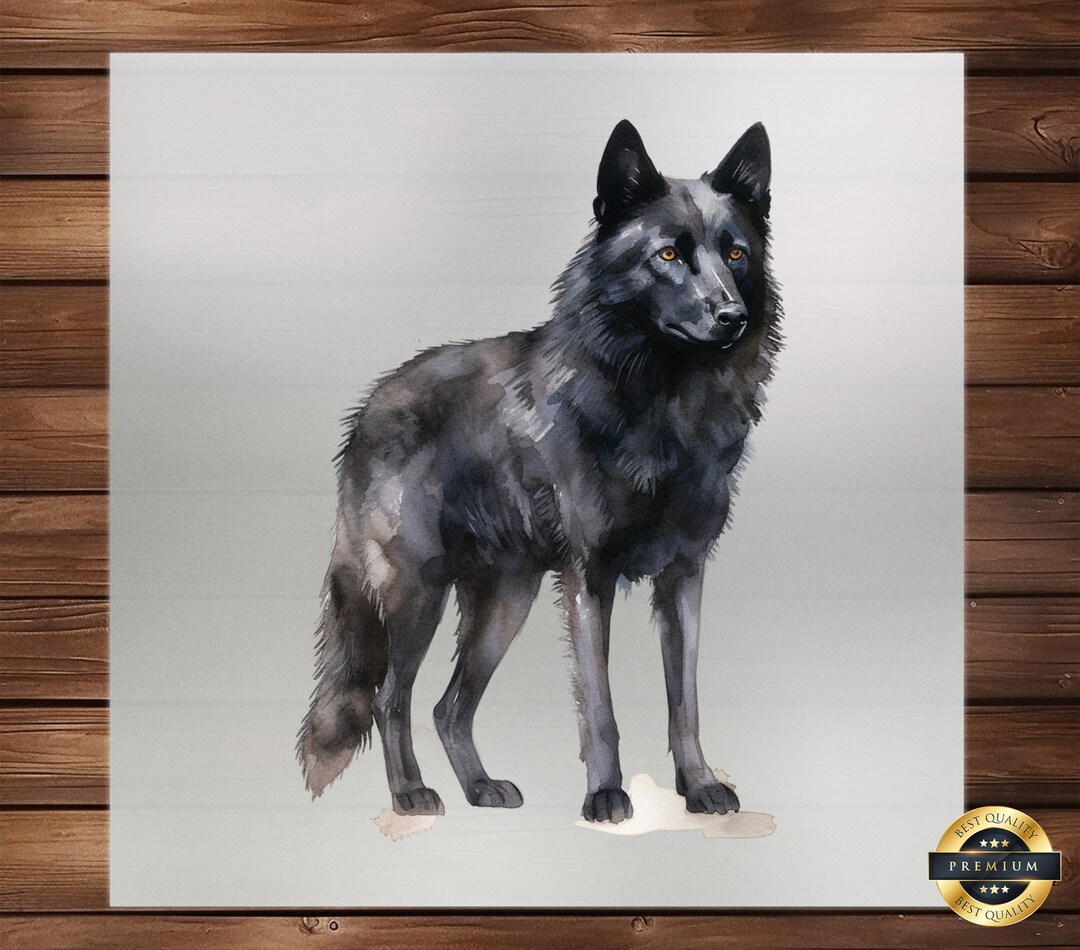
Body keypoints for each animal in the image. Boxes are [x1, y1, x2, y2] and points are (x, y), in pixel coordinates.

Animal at [298, 120, 781, 823]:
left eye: (737, 254)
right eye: (667, 255)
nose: (732, 318)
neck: (660, 406)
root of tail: (371, 406)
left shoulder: (685, 577)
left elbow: (684, 700)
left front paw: (698, 788)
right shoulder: (589, 579)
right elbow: (600, 707)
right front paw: (605, 796)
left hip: (507, 603)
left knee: (449, 708)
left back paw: (480, 789)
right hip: (420, 596)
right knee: (393, 698)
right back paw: (412, 794)